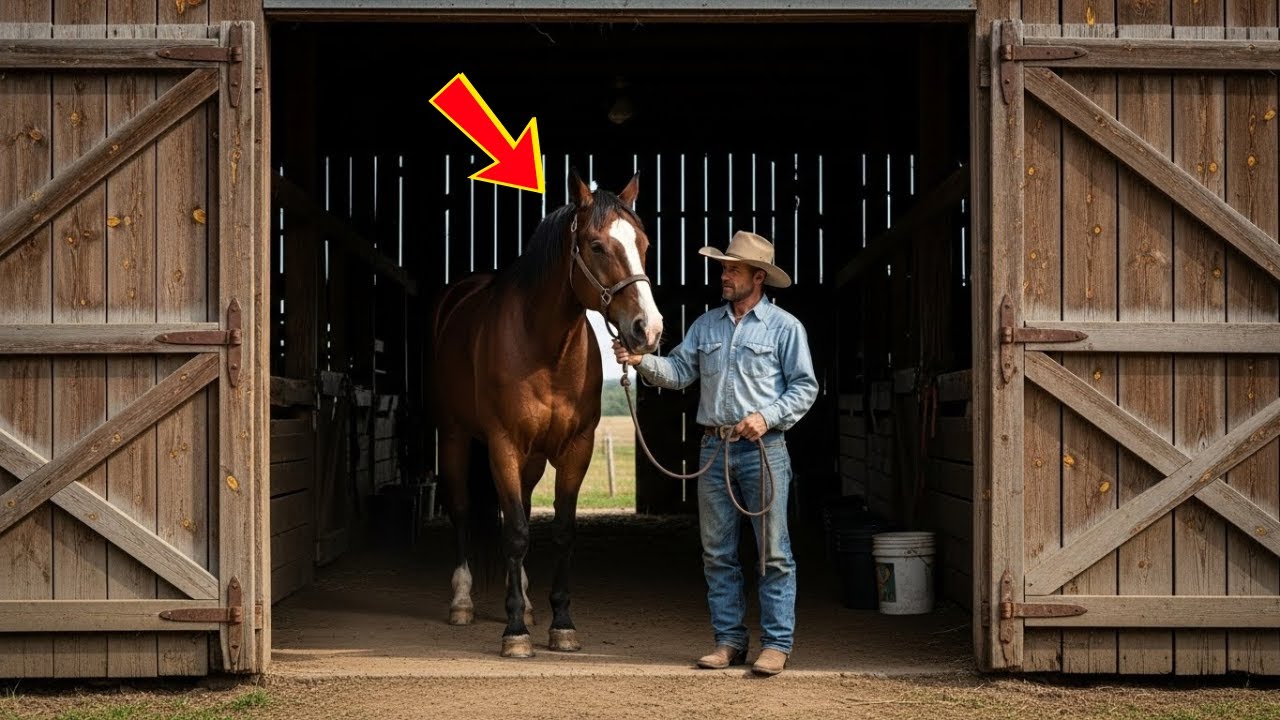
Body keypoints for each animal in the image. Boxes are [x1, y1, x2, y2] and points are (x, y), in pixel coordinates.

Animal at [430, 171, 663, 657]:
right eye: (596, 245)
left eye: (644, 244)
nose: (648, 330)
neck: (545, 348)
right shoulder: (502, 444)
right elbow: (517, 531)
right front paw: (515, 634)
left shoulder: (577, 447)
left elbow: (560, 531)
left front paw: (561, 624)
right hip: (455, 436)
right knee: (462, 509)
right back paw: (462, 602)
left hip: (533, 458)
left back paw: (523, 596)